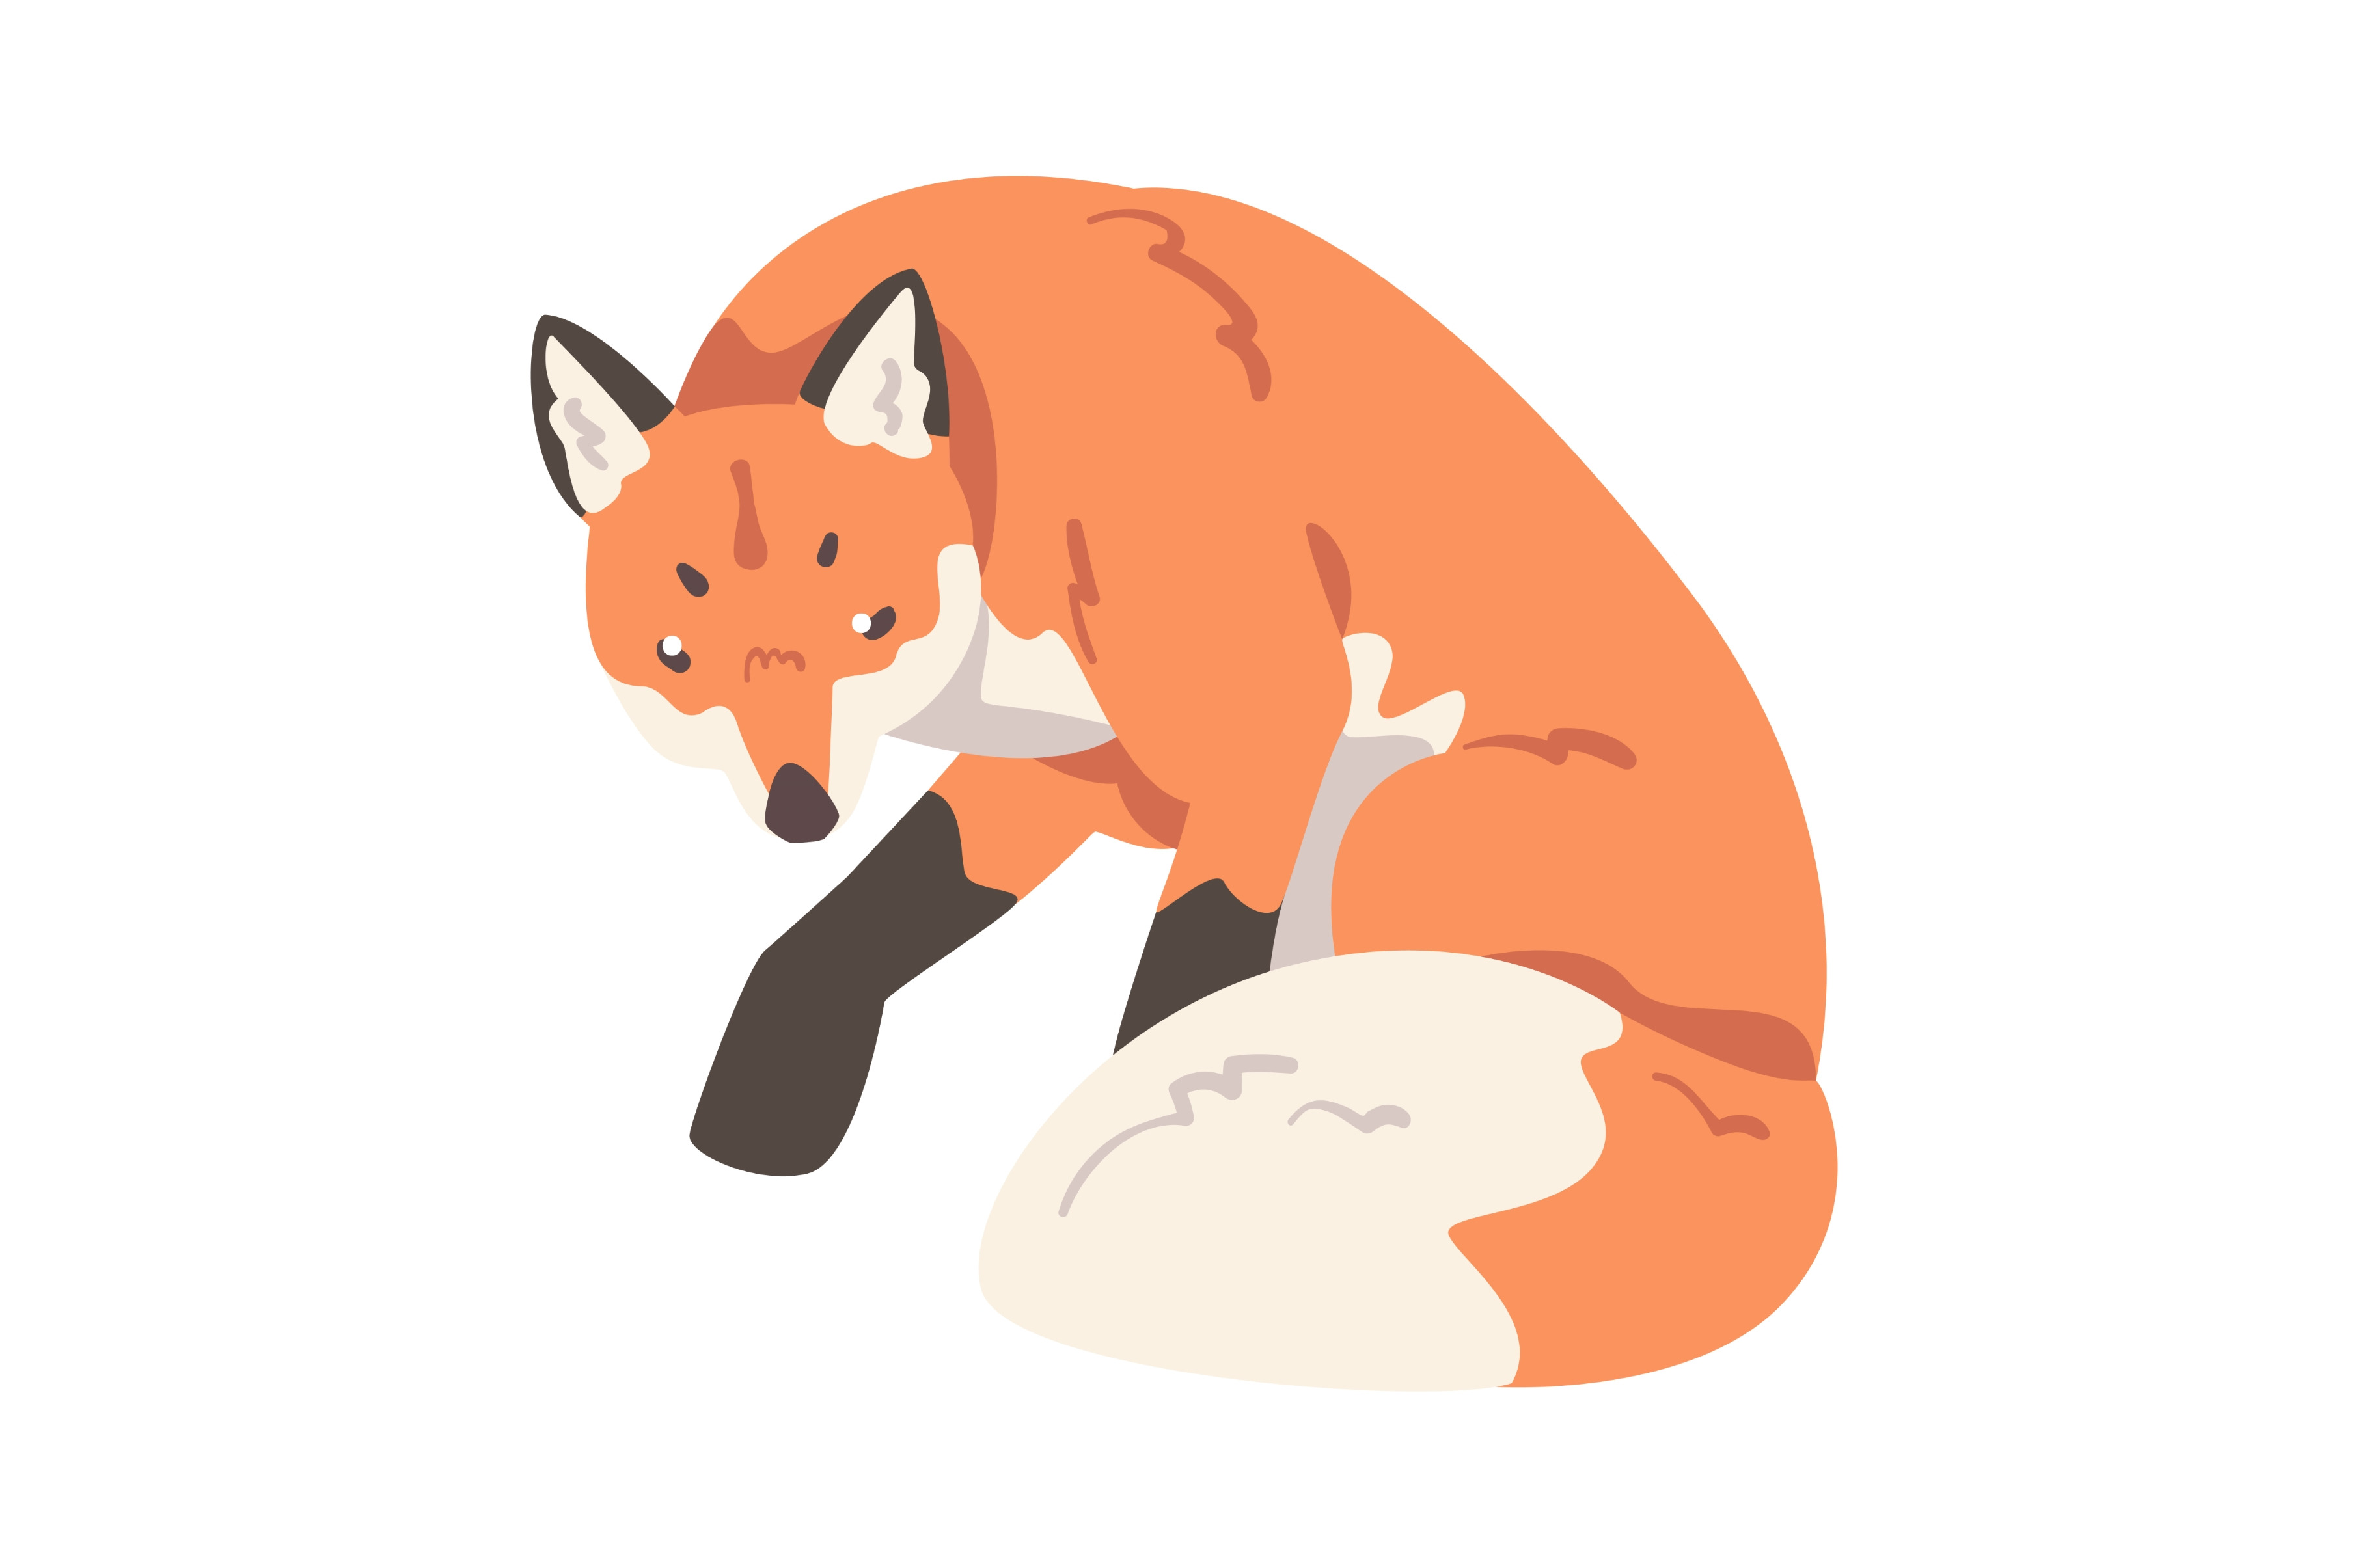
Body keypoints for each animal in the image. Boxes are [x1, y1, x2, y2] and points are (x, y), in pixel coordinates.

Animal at [529, 176, 1834, 1388]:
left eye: (870, 622)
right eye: (677, 657)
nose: (799, 809)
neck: (1009, 441)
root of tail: (1799, 1063)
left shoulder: (1260, 726)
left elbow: (1168, 999)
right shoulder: (1076, 761)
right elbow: (839, 934)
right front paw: (764, 1114)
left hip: (1383, 837)